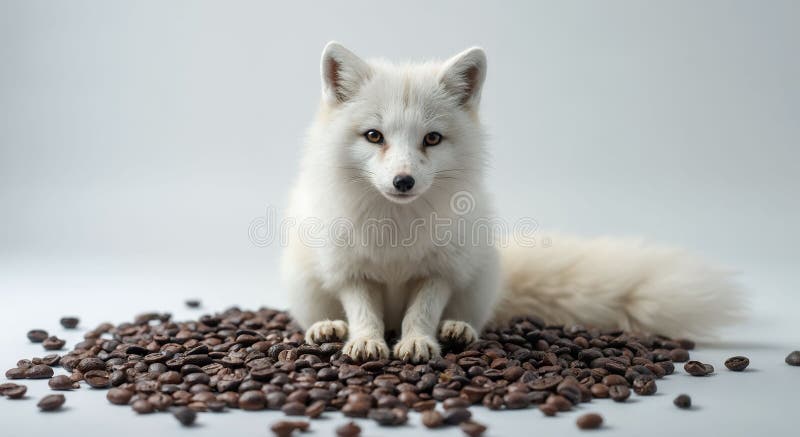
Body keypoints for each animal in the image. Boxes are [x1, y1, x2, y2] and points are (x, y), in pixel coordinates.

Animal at [281, 42, 743, 363]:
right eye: (374, 136)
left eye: (432, 138)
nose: (403, 181)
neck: (397, 225)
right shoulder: (349, 272)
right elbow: (365, 315)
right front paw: (366, 342)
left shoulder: (443, 271)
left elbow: (421, 314)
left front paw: (417, 342)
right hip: (304, 281)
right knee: (325, 316)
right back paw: (326, 329)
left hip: (479, 276)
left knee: (463, 317)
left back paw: (458, 330)